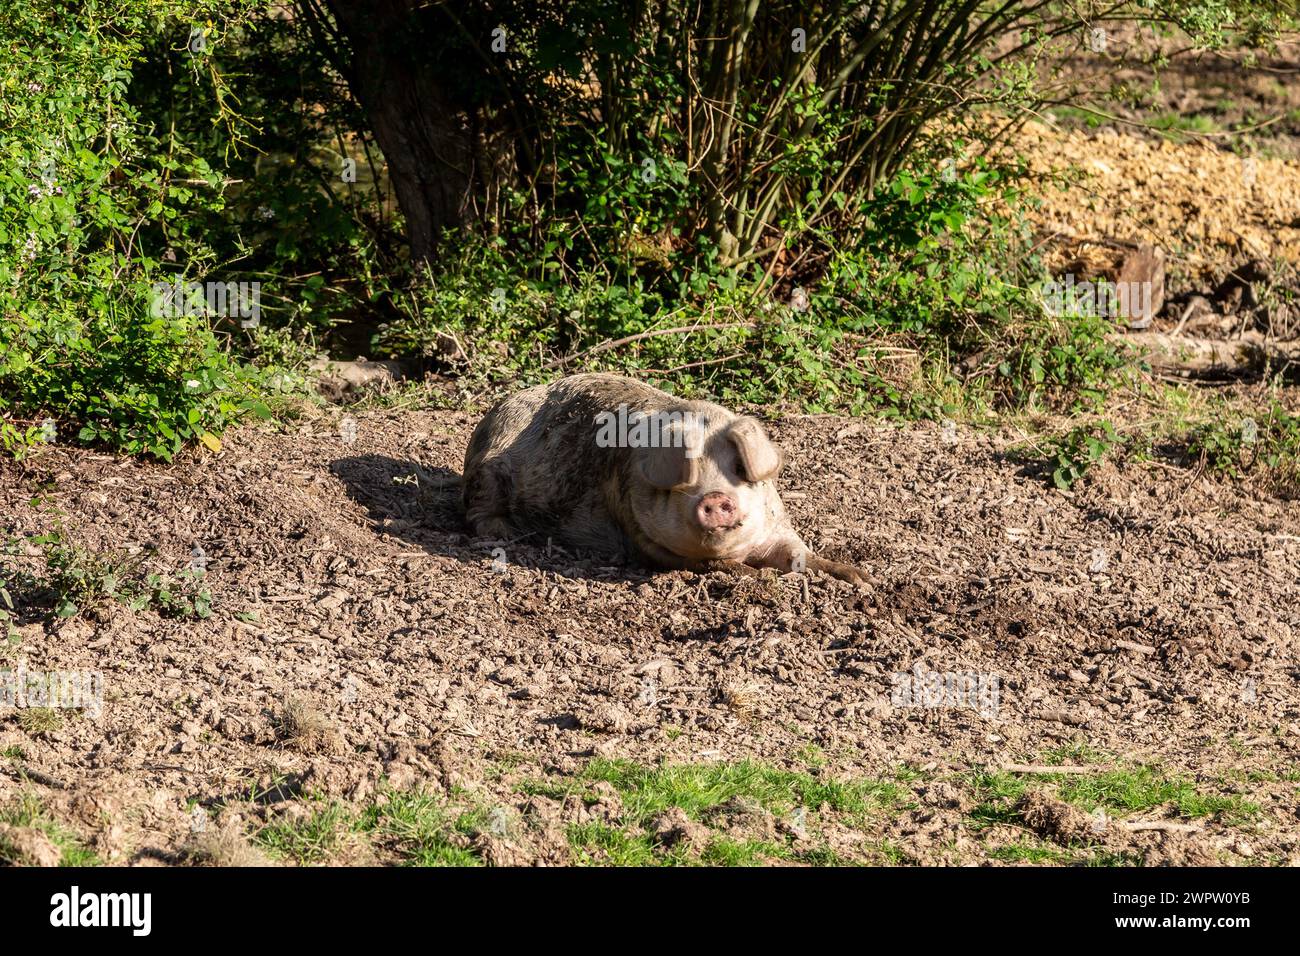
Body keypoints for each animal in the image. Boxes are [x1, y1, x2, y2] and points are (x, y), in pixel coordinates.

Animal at [461, 373, 867, 584]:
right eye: (685, 478)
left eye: (738, 470)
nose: (715, 497)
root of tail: (492, 414)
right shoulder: (644, 537)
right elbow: (709, 564)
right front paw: (758, 577)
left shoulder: (776, 527)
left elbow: (799, 554)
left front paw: (862, 579)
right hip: (486, 472)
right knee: (477, 514)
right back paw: (504, 532)